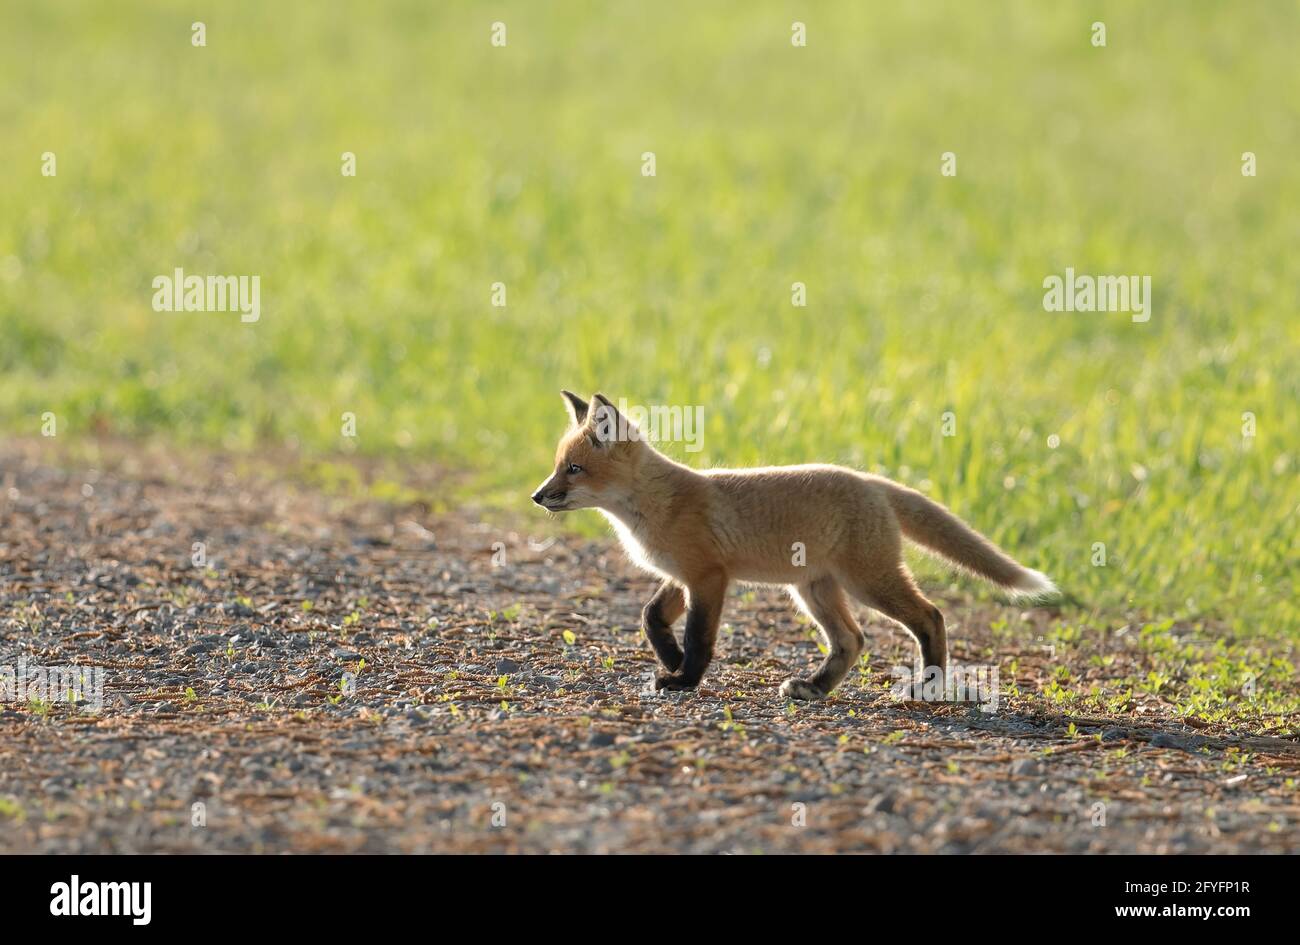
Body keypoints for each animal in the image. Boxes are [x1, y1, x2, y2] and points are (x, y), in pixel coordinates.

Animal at [531, 391, 1057, 701]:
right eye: (558, 467)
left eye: (574, 470)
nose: (537, 496)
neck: (655, 507)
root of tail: (872, 482)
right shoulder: (681, 577)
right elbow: (650, 618)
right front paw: (673, 661)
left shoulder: (709, 576)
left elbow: (700, 637)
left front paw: (684, 678)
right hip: (814, 590)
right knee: (852, 640)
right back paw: (816, 688)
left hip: (868, 582)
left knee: (930, 617)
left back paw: (927, 687)